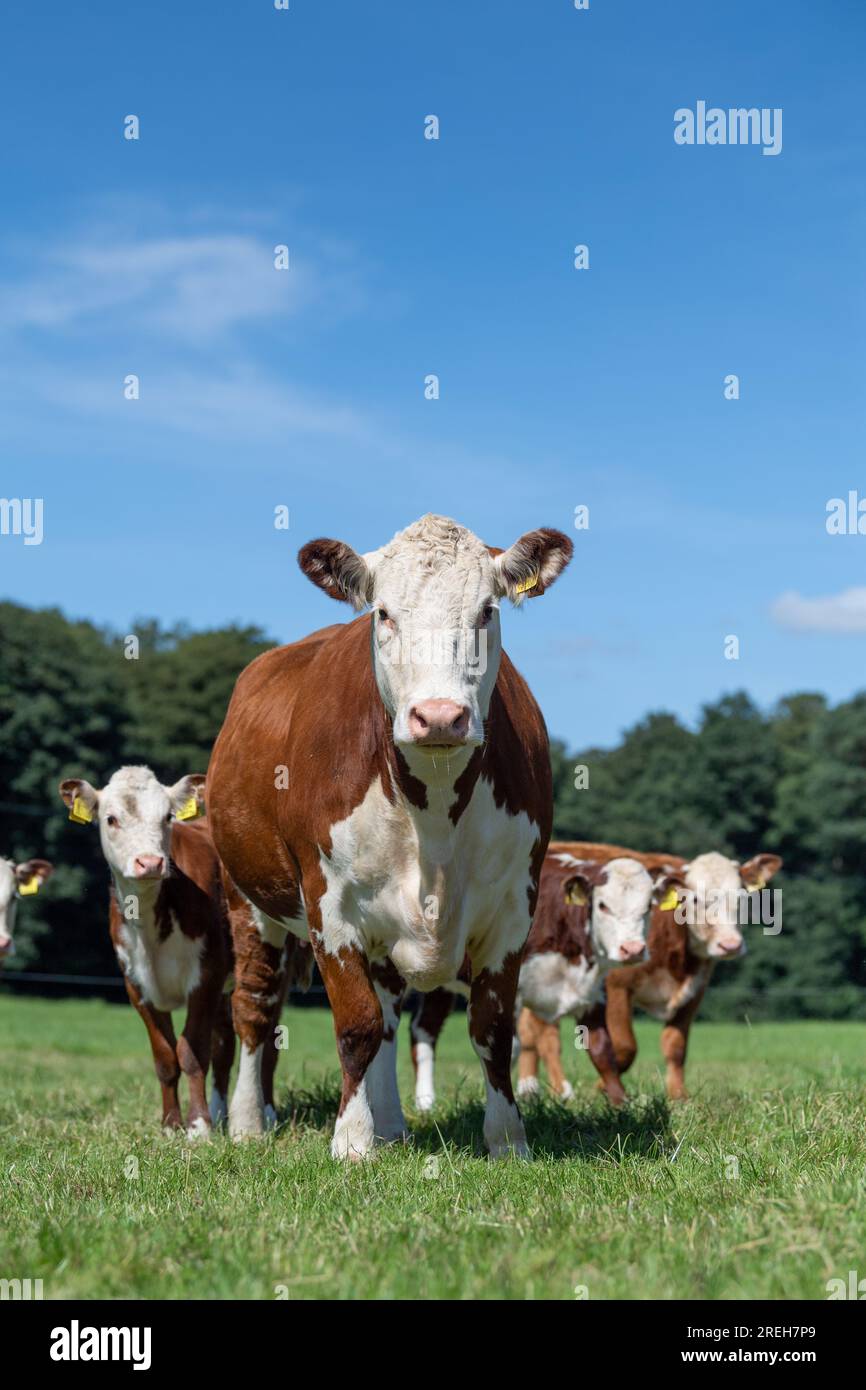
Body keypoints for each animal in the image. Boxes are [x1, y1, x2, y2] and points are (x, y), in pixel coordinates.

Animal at [206, 513, 573, 1159]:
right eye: (383, 614)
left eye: (487, 611)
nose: (440, 716)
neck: (435, 812)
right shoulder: (329, 904)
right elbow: (355, 1025)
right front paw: (352, 1142)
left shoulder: (513, 905)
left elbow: (491, 1028)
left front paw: (508, 1140)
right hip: (246, 899)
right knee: (254, 1005)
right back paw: (249, 1122)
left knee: (387, 1013)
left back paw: (393, 1123)